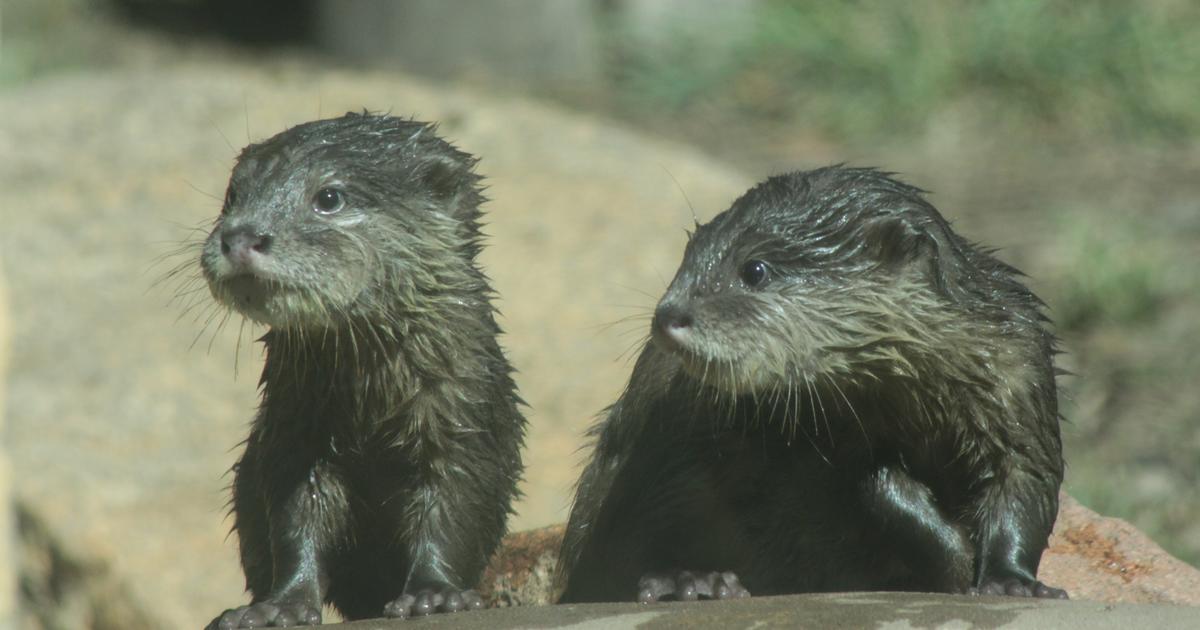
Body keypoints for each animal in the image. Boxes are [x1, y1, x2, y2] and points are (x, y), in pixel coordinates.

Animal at [198, 112, 525, 627]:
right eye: (235, 192)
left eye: (329, 197)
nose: (242, 236)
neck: (373, 403)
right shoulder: (295, 430)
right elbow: (296, 517)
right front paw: (280, 605)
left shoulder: (466, 422)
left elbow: (454, 507)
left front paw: (434, 594)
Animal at [557, 166, 1066, 603]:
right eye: (687, 256)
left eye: (755, 269)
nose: (667, 314)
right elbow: (879, 492)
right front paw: (954, 556)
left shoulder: (1019, 374)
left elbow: (1024, 484)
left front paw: (1013, 582)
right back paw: (693, 582)